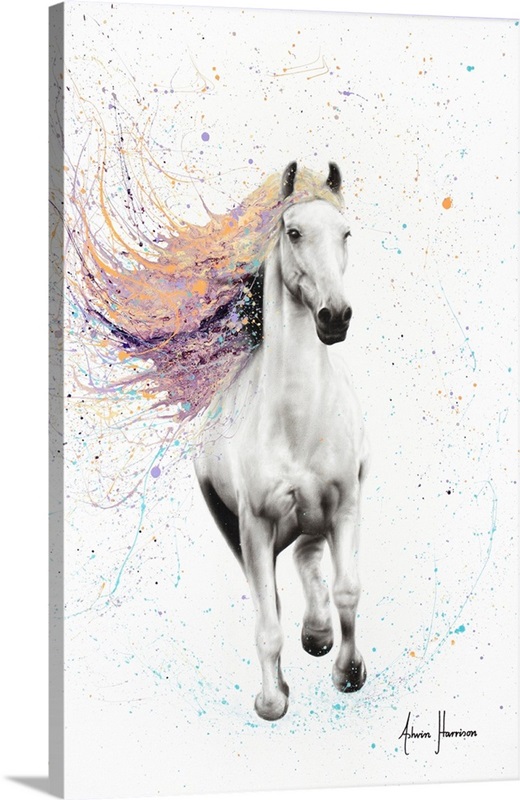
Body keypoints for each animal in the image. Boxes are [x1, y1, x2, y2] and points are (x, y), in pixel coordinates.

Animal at [194, 162, 369, 721]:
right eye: (293, 232)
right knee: (276, 579)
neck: (298, 421)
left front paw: (349, 673)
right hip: (232, 524)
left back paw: (318, 635)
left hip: (318, 512)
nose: (335, 316)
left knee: (308, 556)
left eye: (346, 233)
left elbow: (347, 590)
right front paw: (272, 701)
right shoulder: (255, 523)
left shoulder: (345, 503)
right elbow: (267, 622)